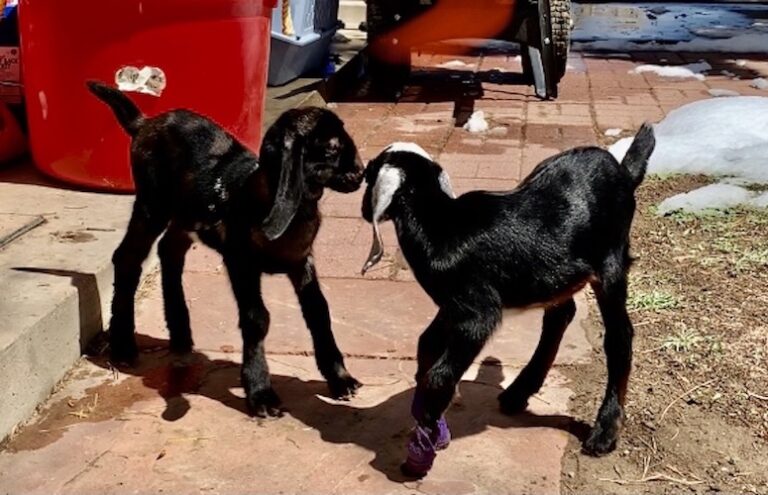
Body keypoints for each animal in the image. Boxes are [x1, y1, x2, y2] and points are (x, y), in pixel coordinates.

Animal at [87, 81, 364, 417]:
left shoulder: (301, 262)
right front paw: (260, 392)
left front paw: (340, 378)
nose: (361, 172)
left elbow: (319, 311)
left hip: (184, 215)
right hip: (152, 205)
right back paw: (124, 346)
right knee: (128, 257)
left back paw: (180, 335)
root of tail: (145, 123)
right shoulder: (240, 261)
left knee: (169, 250)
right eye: (332, 148)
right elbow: (257, 317)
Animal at [361, 127, 655, 473]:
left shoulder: (477, 312)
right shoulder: (453, 305)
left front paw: (425, 433)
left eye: (368, 174)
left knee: (619, 336)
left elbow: (438, 374)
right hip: (556, 275)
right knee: (561, 314)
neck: (439, 224)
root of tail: (623, 172)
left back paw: (605, 430)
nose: (364, 211)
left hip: (610, 264)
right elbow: (427, 343)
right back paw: (520, 390)